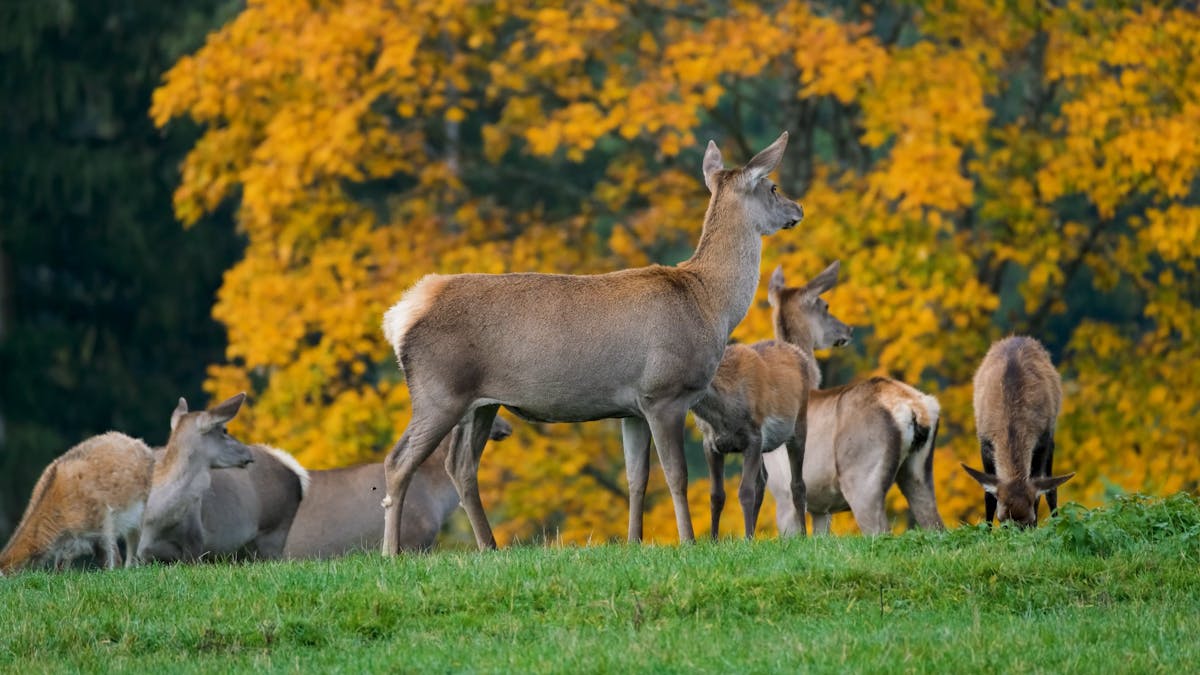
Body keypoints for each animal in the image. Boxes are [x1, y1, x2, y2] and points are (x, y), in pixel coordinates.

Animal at [0, 432, 154, 573]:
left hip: (141, 511)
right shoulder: (67, 546)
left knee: (133, 544)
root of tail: (144, 446)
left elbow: (112, 561)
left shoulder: (103, 523)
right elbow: (60, 568)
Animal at [380, 132, 805, 554]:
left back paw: (490, 547)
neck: (709, 303)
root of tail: (401, 314)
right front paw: (688, 542)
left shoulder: (633, 408)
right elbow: (676, 475)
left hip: (480, 402)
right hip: (439, 391)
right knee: (398, 462)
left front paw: (634, 542)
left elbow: (637, 478)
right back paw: (392, 552)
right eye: (773, 186)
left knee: (461, 466)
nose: (798, 209)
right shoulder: (663, 393)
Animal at [690, 262, 851, 539]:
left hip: (798, 427)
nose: (848, 330)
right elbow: (717, 495)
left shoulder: (754, 437)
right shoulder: (710, 443)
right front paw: (713, 540)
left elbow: (746, 491)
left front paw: (747, 538)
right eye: (825, 306)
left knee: (797, 485)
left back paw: (803, 536)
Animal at [761, 262, 946, 535]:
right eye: (826, 306)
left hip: (861, 478)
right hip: (918, 472)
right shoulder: (821, 508)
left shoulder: (782, 493)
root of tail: (915, 408)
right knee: (936, 524)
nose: (848, 329)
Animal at [961, 336, 1075, 527]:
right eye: (1002, 520)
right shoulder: (984, 440)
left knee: (1051, 489)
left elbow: (1039, 492)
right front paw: (986, 530)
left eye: (1029, 520)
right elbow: (988, 495)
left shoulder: (1042, 440)